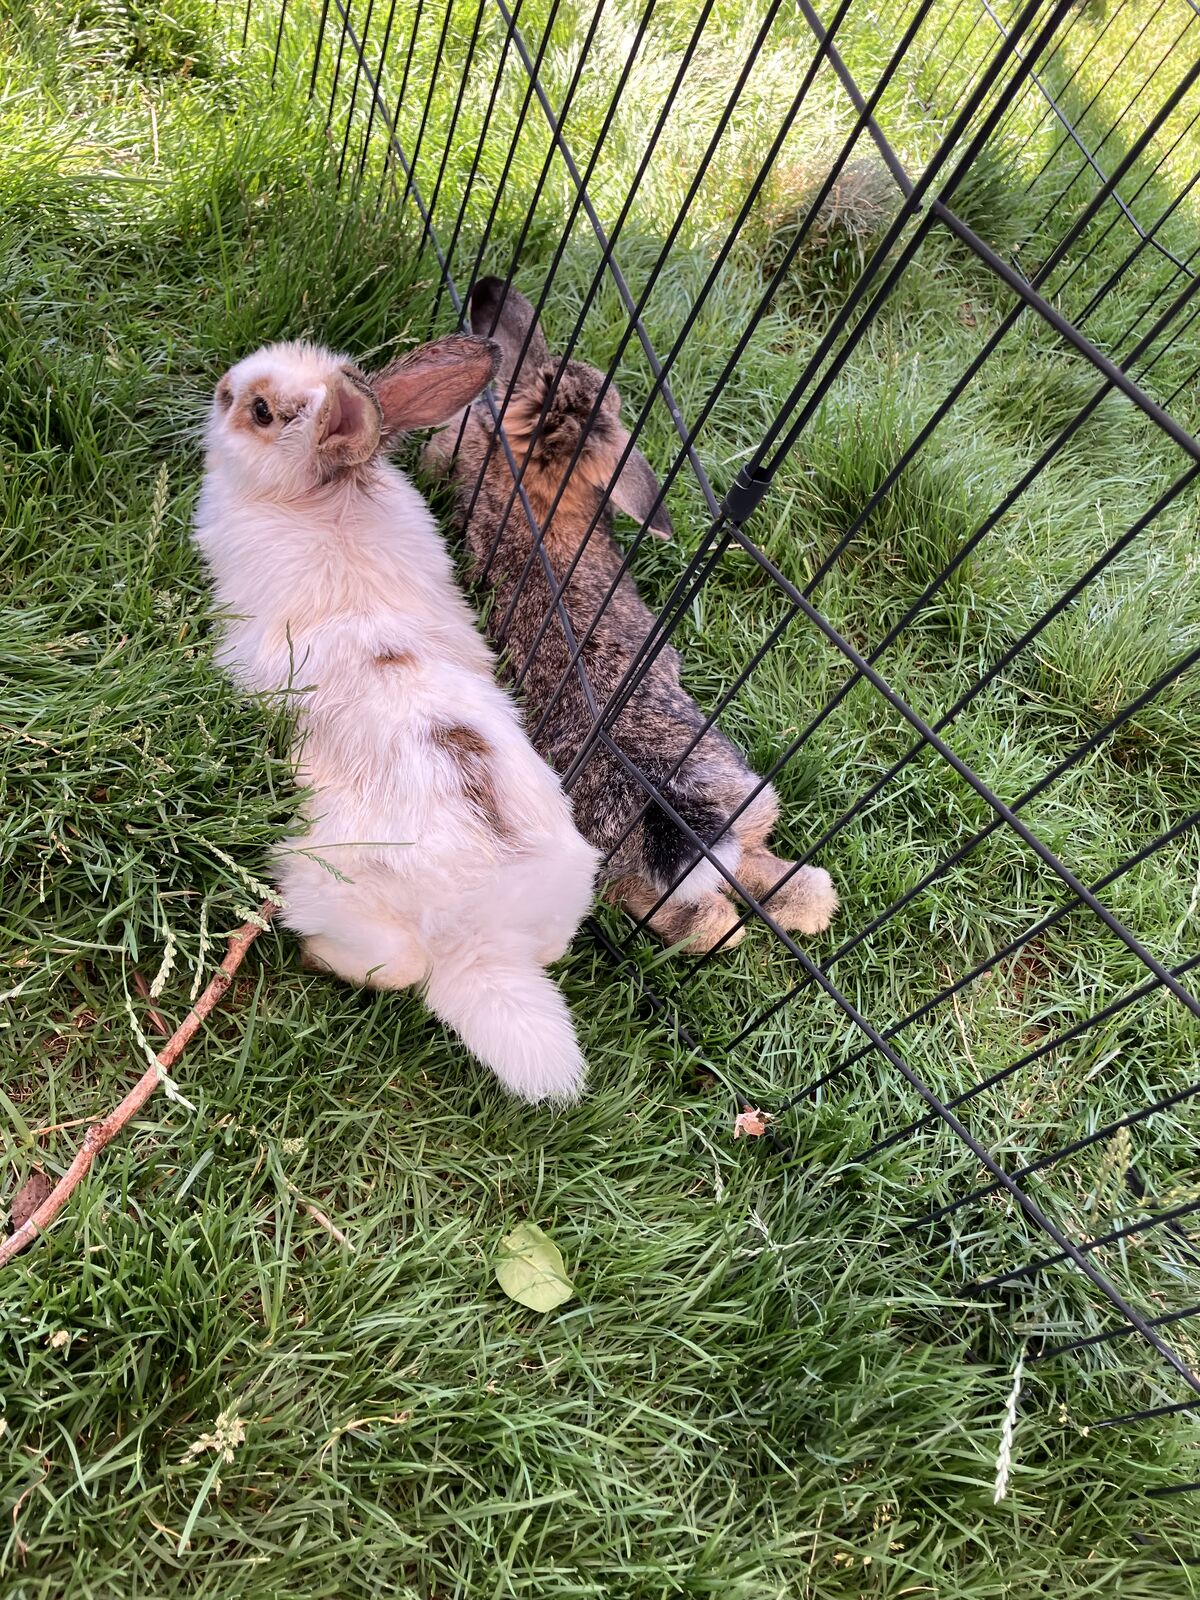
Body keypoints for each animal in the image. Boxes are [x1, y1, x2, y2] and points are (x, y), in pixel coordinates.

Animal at [192, 334, 600, 1103]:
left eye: (260, 411)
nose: (223, 387)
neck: (326, 495)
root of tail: (479, 939)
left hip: (326, 882)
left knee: (396, 968)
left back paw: (314, 956)